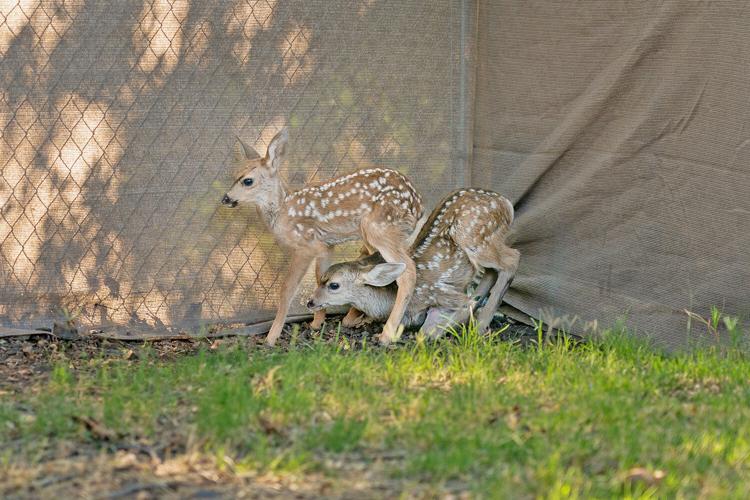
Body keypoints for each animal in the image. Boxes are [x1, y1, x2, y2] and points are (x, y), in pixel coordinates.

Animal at [221, 128, 426, 346]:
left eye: (247, 181)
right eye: (233, 175)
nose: (225, 198)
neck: (284, 211)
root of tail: (418, 205)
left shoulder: (306, 245)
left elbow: (287, 289)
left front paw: (271, 337)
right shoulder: (325, 245)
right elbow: (321, 276)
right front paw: (316, 323)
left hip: (379, 229)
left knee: (408, 271)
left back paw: (386, 335)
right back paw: (355, 318)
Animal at [306, 189, 520, 338]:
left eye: (334, 285)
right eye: (320, 279)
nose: (310, 302)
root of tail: (507, 204)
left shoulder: (440, 293)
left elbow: (428, 330)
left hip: (475, 238)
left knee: (512, 258)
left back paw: (480, 325)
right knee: (493, 270)